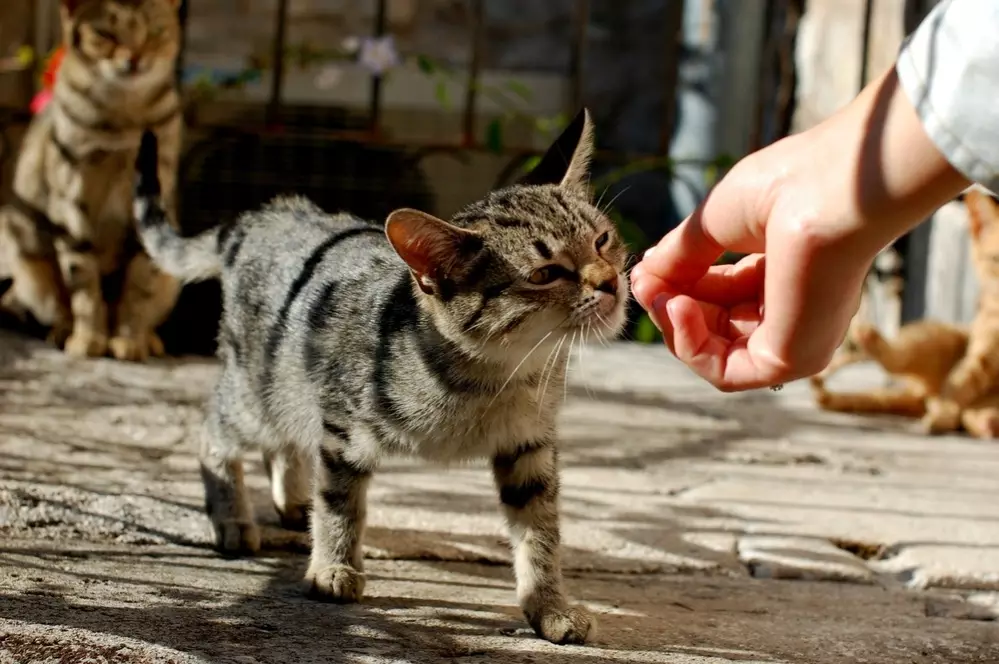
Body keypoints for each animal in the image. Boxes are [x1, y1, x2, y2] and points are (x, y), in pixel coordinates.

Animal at [0, 0, 184, 360]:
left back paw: (150, 340)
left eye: (156, 31)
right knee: (59, 306)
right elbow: (84, 287)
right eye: (105, 34)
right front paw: (89, 339)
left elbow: (137, 289)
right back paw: (63, 332)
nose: (134, 59)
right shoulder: (73, 204)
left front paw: (129, 340)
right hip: (25, 254)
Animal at [133, 109, 624, 644]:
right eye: (544, 274)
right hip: (258, 387)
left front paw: (549, 605)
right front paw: (333, 567)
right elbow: (340, 504)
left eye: (602, 240)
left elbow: (540, 530)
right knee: (214, 430)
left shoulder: (529, 445)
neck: (497, 375)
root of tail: (265, 214)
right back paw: (232, 517)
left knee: (285, 442)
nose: (611, 281)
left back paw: (292, 499)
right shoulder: (342, 426)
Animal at [808, 189, 999, 438]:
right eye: (996, 260)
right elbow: (960, 384)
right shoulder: (981, 354)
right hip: (941, 340)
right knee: (907, 367)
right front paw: (943, 413)